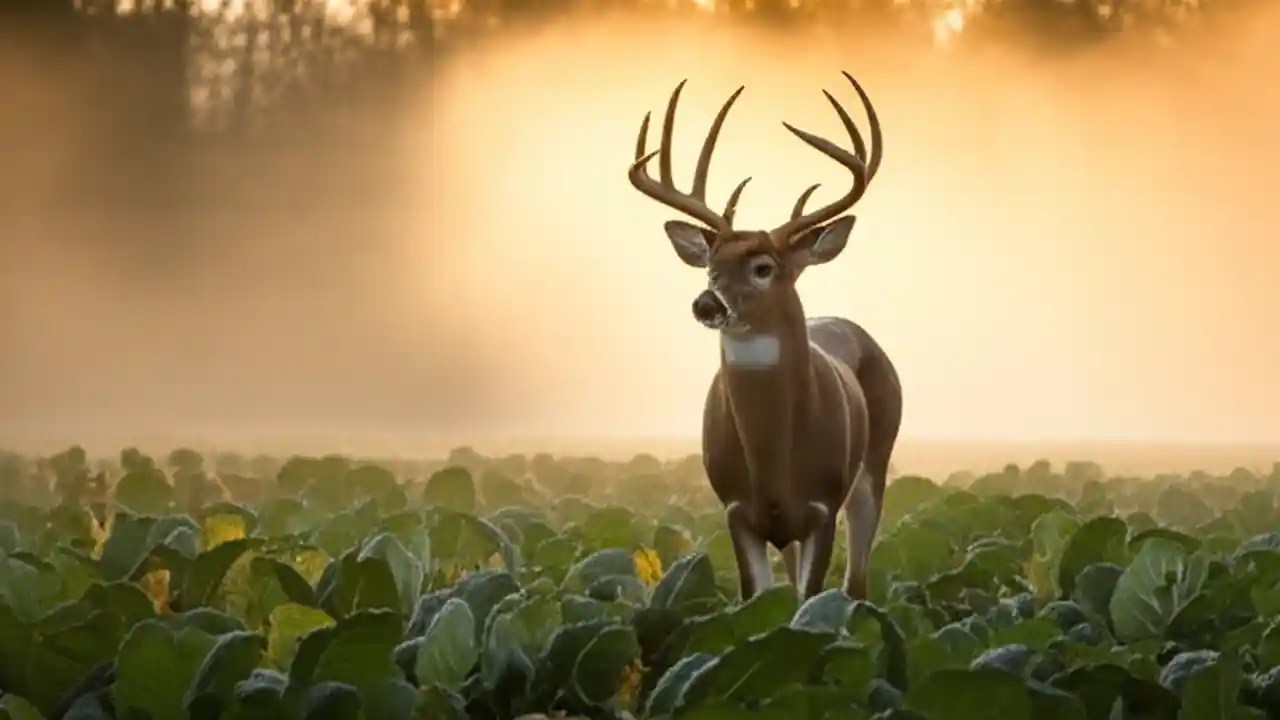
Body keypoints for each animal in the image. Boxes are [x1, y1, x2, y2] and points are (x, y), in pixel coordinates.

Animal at [626, 72, 903, 601]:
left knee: (857, 581)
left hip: (875, 463)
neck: (774, 461)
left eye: (762, 267)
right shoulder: (737, 511)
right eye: (710, 266)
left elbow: (809, 601)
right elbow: (759, 600)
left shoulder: (822, 507)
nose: (707, 303)